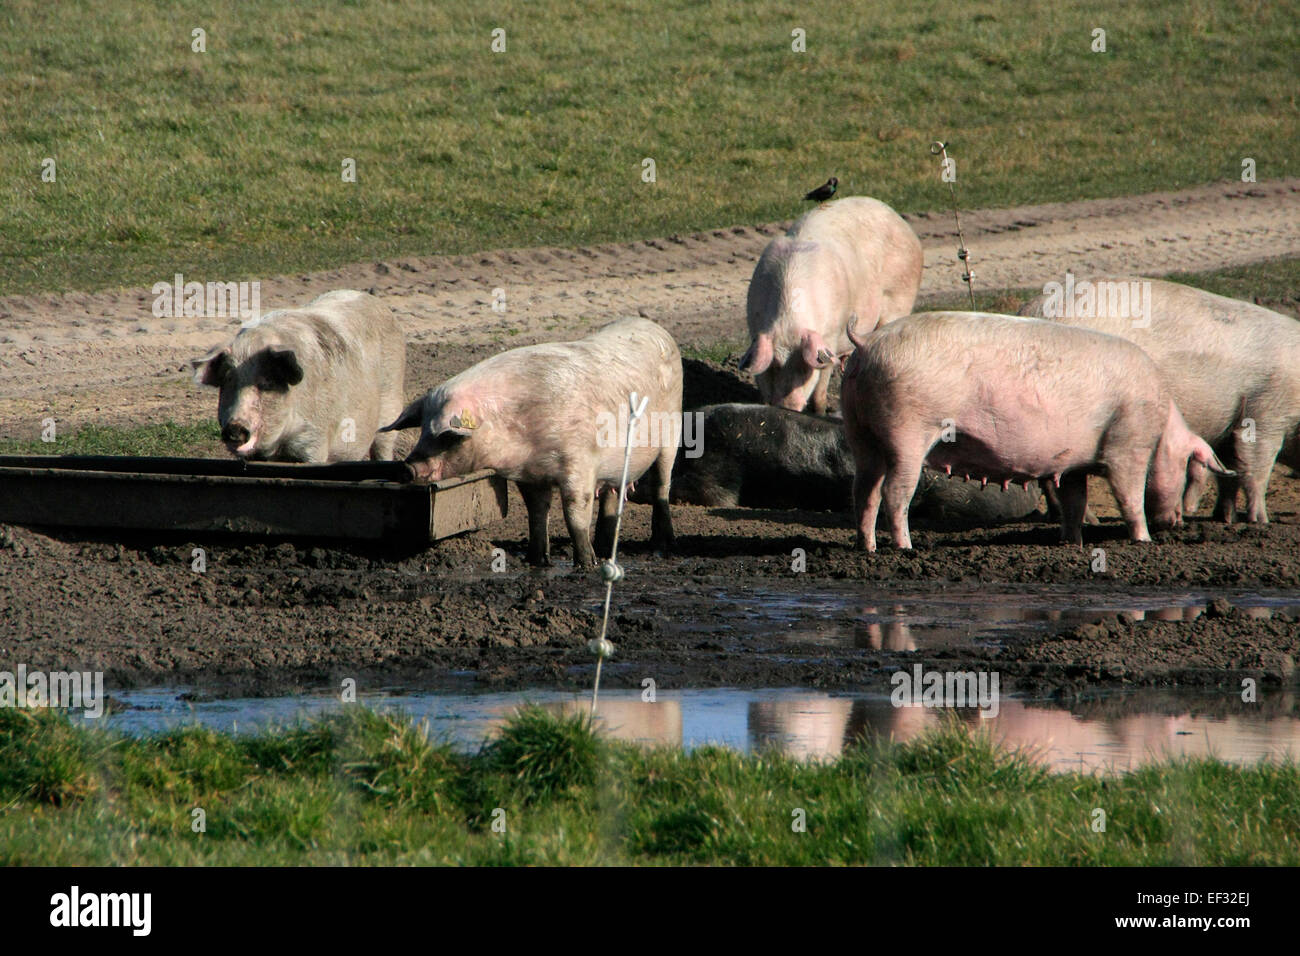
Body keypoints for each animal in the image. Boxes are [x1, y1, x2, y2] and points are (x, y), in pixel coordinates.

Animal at [191, 290, 405, 462]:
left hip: (391, 406)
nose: (235, 427)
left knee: (383, 446)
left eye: (267, 383)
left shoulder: (315, 438)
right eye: (228, 381)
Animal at [381, 317, 682, 568]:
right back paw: (605, 546)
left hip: (672, 432)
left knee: (662, 485)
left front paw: (586, 566)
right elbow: (536, 513)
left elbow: (574, 512)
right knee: (611, 494)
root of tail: (657, 328)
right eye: (422, 429)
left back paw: (661, 546)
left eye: (446, 437)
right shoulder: (529, 475)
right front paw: (536, 561)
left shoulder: (579, 462)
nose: (408, 467)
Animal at [740, 196, 923, 415]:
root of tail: (901, 221)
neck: (789, 323)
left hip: (900, 297)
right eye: (774, 366)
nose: (788, 407)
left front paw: (820, 412)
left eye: (804, 369)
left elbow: (821, 387)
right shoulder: (755, 326)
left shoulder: (830, 337)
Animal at [840, 312, 1233, 551]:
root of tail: (867, 343)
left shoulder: (1074, 464)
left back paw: (867, 548)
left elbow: (1076, 502)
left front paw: (1072, 544)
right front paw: (1143, 541)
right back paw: (905, 548)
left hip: (859, 430)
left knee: (864, 490)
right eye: (1188, 464)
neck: (1162, 425)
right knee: (894, 492)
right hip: (907, 429)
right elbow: (1130, 497)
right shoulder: (1128, 445)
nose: (1176, 524)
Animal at [1019, 277, 1300, 523]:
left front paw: (1226, 519)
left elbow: (1229, 474)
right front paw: (1261, 521)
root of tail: (1032, 309)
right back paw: (1091, 520)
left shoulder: (1230, 425)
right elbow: (1256, 468)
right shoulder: (1267, 410)